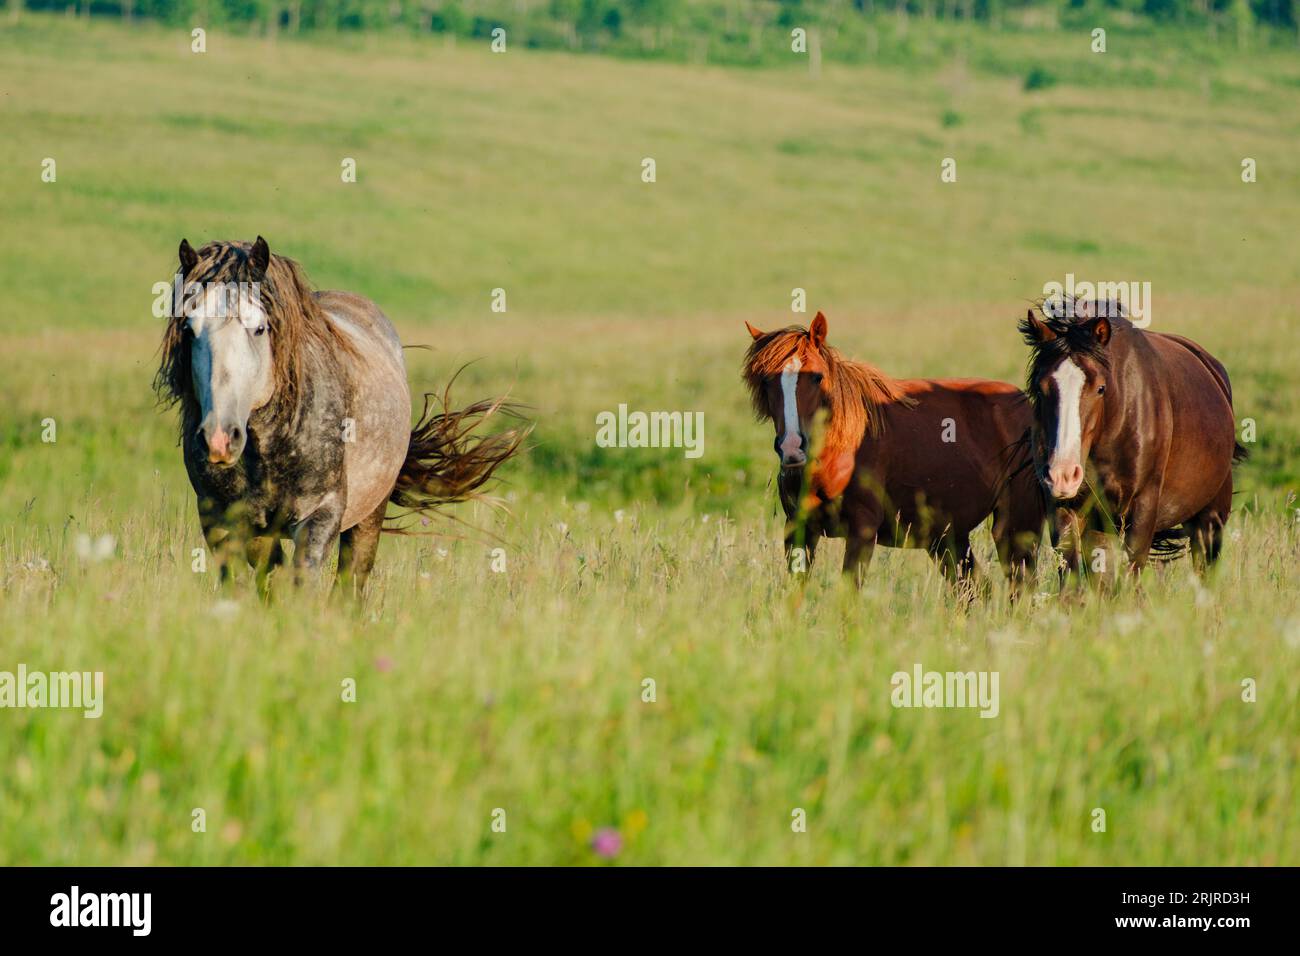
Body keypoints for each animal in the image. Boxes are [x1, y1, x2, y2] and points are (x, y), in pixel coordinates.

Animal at [155, 236, 526, 596]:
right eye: (189, 330)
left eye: (260, 329)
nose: (219, 439)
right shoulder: (222, 520)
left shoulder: (322, 513)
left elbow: (302, 580)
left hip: (369, 515)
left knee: (351, 582)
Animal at [742, 312, 1045, 593]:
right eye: (766, 381)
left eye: (817, 377)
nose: (792, 447)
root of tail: (1023, 403)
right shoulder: (799, 530)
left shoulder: (862, 532)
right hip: (947, 537)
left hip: (1016, 526)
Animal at [1018, 299, 1245, 579]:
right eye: (1040, 389)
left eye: (1101, 388)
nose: (1063, 475)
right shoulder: (1064, 508)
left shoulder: (1143, 508)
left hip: (1211, 518)